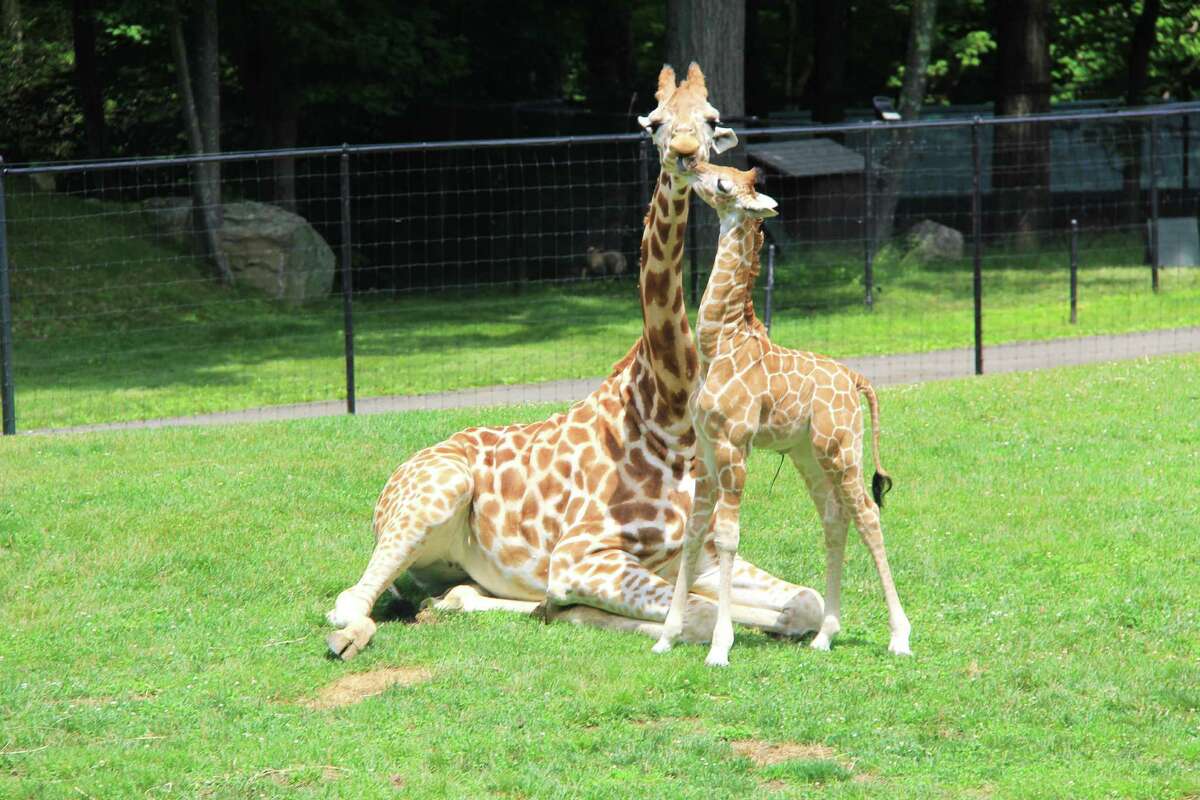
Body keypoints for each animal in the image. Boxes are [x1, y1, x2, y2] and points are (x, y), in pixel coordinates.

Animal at [325, 65, 824, 661]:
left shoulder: (692, 554)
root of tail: (396, 475)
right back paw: (351, 633)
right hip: (434, 493)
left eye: (711, 119)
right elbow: (697, 616)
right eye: (655, 122)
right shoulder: (580, 556)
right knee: (351, 598)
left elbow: (805, 602)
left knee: (455, 595)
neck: (668, 416)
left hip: (447, 561)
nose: (684, 155)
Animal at [651, 162, 912, 666]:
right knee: (835, 517)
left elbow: (728, 537)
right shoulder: (705, 453)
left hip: (842, 448)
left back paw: (900, 637)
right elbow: (694, 533)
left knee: (868, 514)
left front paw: (720, 647)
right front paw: (666, 636)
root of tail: (856, 380)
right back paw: (825, 635)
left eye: (723, 183)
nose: (693, 165)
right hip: (807, 453)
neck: (718, 343)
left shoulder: (734, 445)